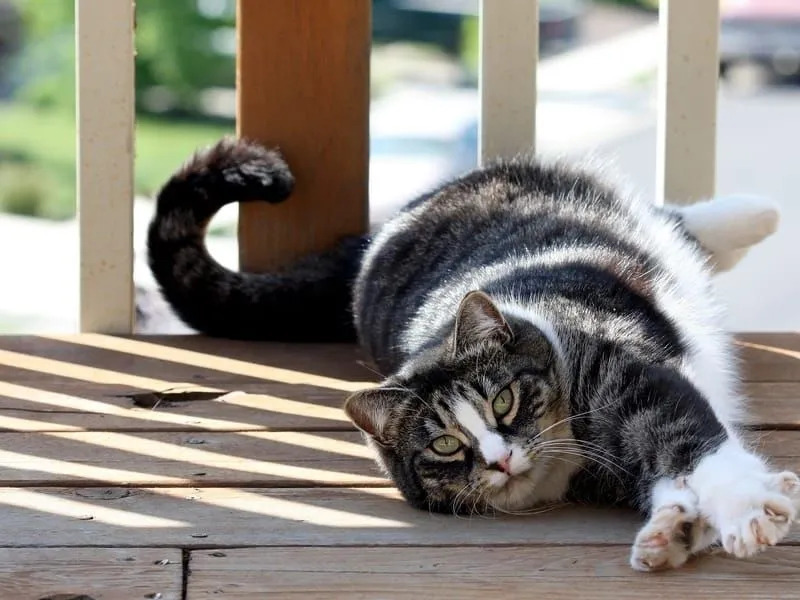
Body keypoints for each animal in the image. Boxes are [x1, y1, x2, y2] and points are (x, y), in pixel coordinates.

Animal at [148, 137, 792, 572]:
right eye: (444, 446)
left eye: (503, 399)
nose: (499, 459)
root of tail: (384, 230)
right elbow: (665, 477)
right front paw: (675, 529)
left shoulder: (626, 373)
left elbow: (687, 440)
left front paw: (745, 513)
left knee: (672, 223)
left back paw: (752, 215)